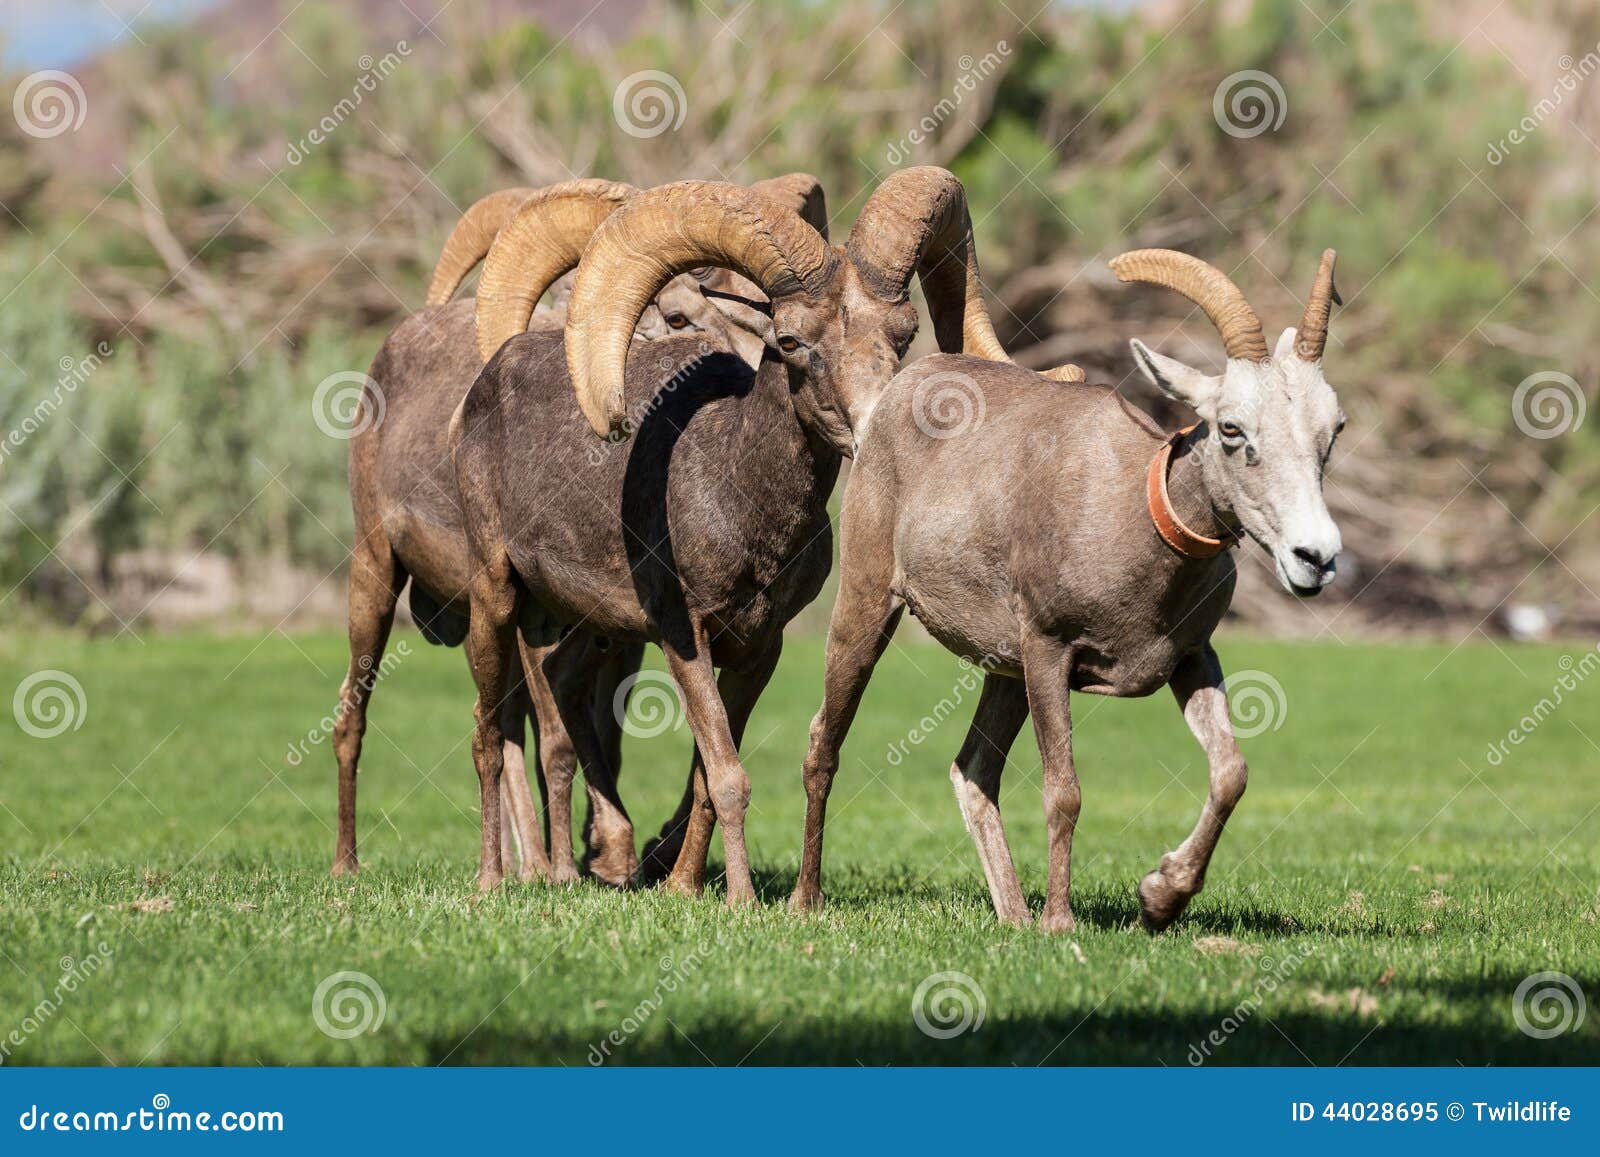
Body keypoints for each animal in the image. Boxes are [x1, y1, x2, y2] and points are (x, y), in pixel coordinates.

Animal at [331, 176, 815, 886]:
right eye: (676, 317)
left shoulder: (628, 631)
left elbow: (638, 740)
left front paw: (630, 858)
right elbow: (557, 738)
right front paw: (576, 866)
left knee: (502, 725)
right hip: (381, 573)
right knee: (364, 715)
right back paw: (363, 864)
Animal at [451, 166, 1080, 896]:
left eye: (903, 335)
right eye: (790, 341)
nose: (878, 425)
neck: (738, 500)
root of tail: (490, 378)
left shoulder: (759, 647)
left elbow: (706, 778)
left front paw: (686, 887)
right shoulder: (685, 635)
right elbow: (727, 776)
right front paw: (744, 900)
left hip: (590, 623)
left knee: (561, 690)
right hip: (496, 595)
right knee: (486, 735)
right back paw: (495, 879)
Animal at [786, 247, 1345, 932]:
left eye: (1333, 431)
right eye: (1232, 429)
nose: (1316, 557)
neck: (1129, 516)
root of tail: (900, 393)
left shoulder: (1191, 659)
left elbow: (1230, 774)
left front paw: (1160, 897)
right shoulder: (1050, 653)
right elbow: (1065, 792)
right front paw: (1061, 922)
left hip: (1003, 672)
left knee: (973, 771)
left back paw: (1013, 917)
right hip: (871, 609)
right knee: (824, 742)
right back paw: (808, 900)